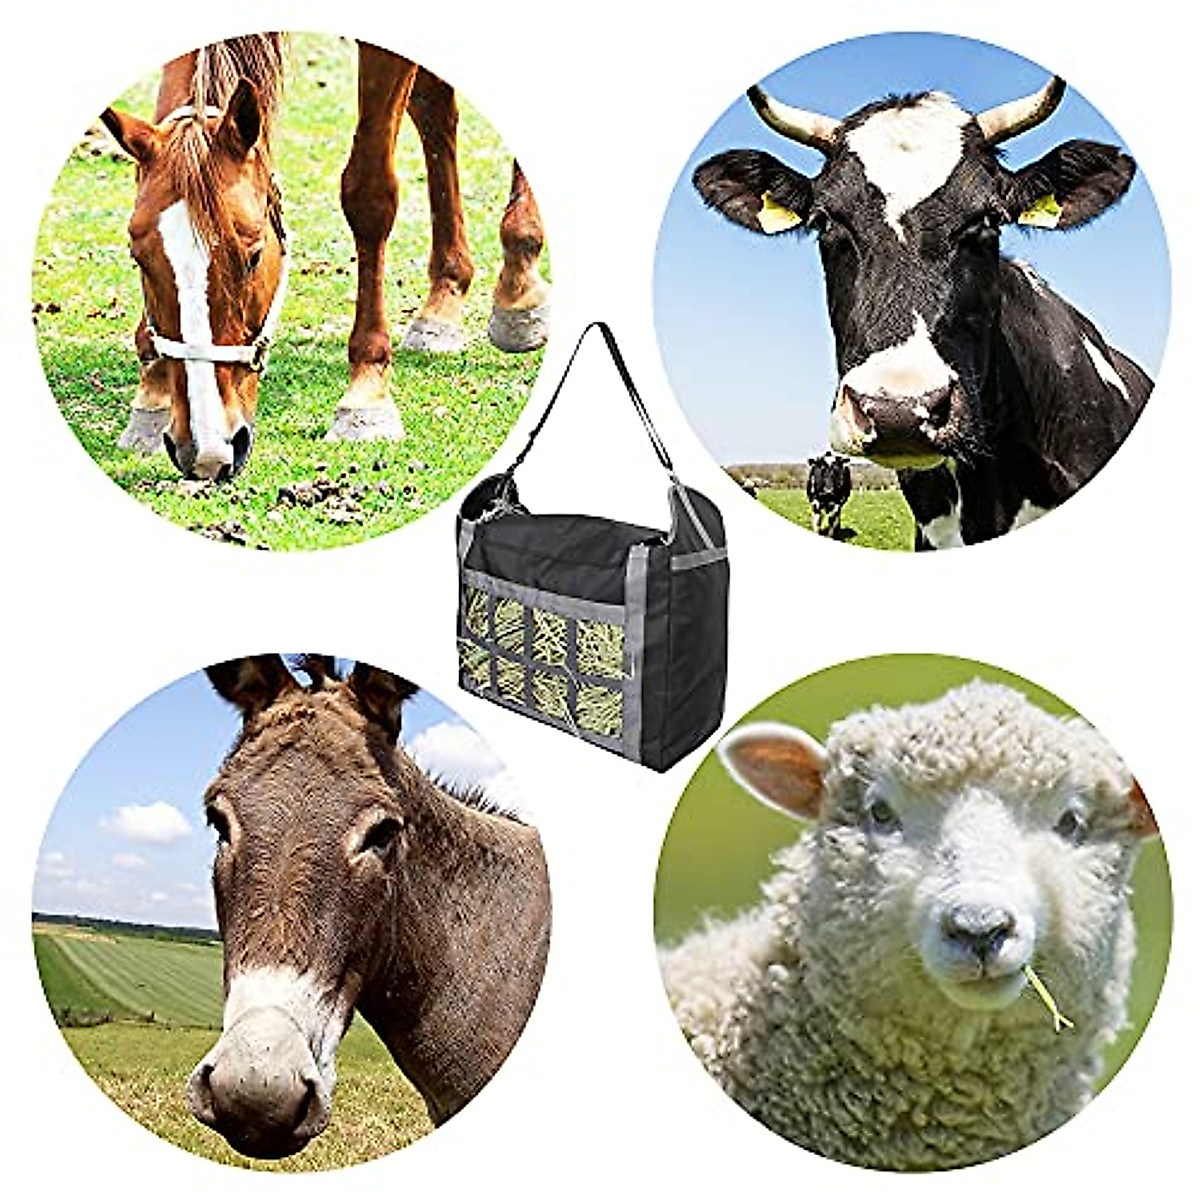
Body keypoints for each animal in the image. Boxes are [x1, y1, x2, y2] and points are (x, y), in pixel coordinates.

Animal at [100, 34, 550, 480]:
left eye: (253, 257)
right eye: (138, 259)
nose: (207, 450)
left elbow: (368, 192)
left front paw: (366, 392)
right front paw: (153, 391)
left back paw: (518, 281)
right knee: (434, 108)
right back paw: (444, 299)